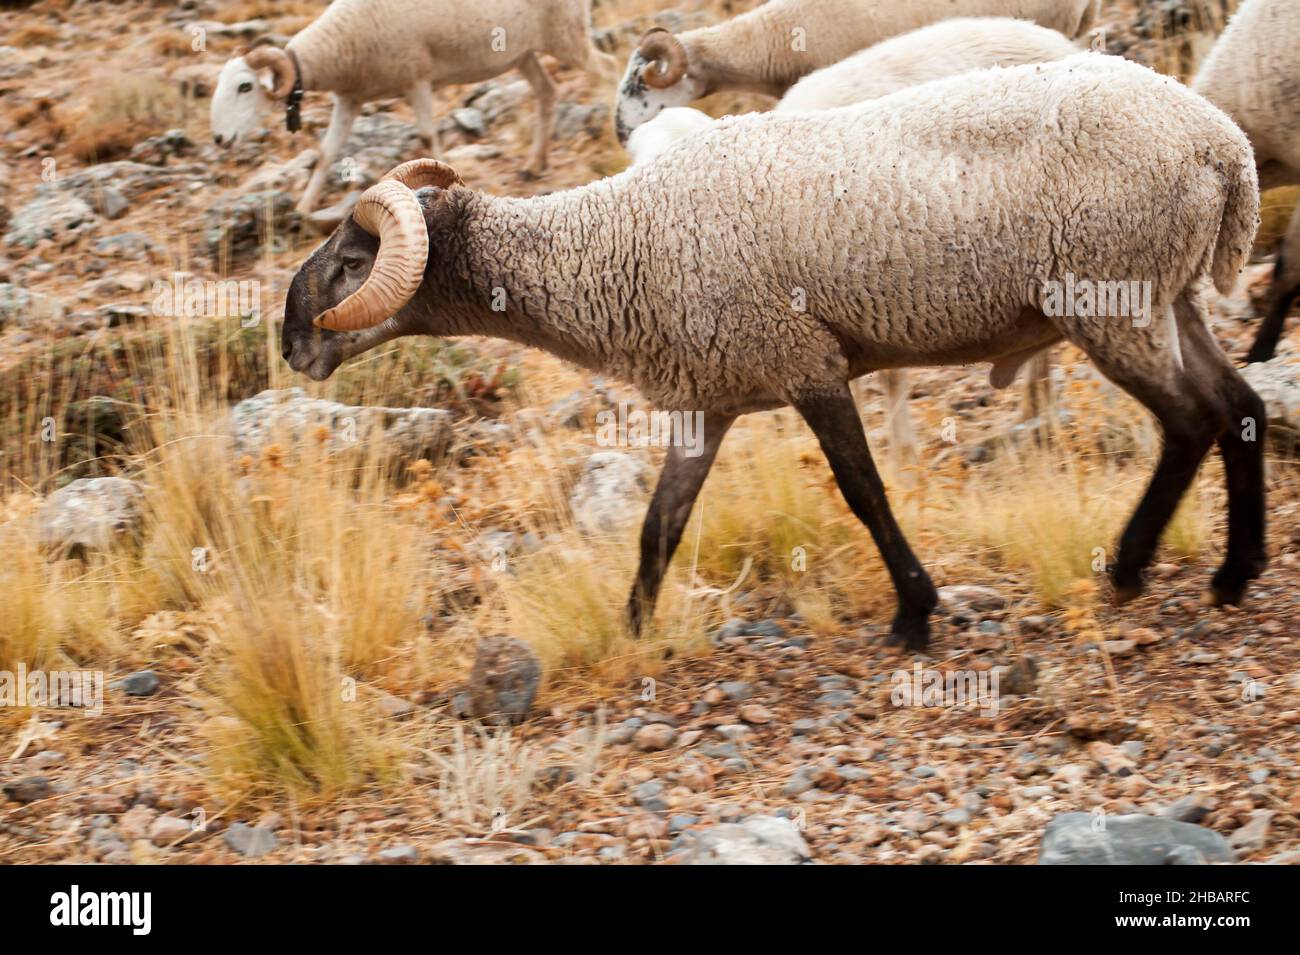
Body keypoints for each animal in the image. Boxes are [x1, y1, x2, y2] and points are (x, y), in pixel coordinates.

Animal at [210, 0, 617, 214]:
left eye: (245, 86)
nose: (218, 139)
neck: (339, 44)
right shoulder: (350, 100)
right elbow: (327, 153)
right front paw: (304, 207)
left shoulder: (417, 79)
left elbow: (427, 139)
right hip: (523, 52)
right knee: (547, 93)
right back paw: (534, 164)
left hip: (567, 35)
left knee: (606, 71)